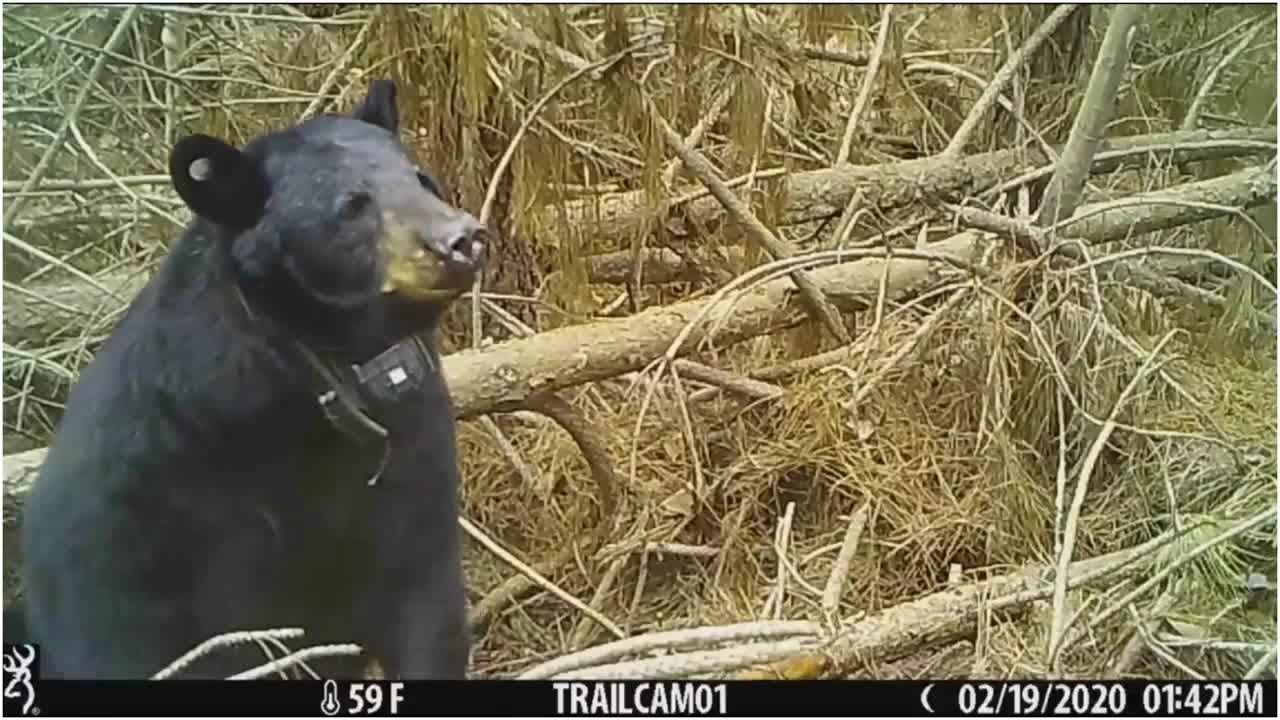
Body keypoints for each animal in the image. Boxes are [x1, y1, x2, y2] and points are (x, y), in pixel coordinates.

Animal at [10, 79, 482, 680]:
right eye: (352, 206)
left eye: (423, 179)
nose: (461, 239)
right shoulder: (197, 508)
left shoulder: (412, 439)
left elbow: (424, 596)